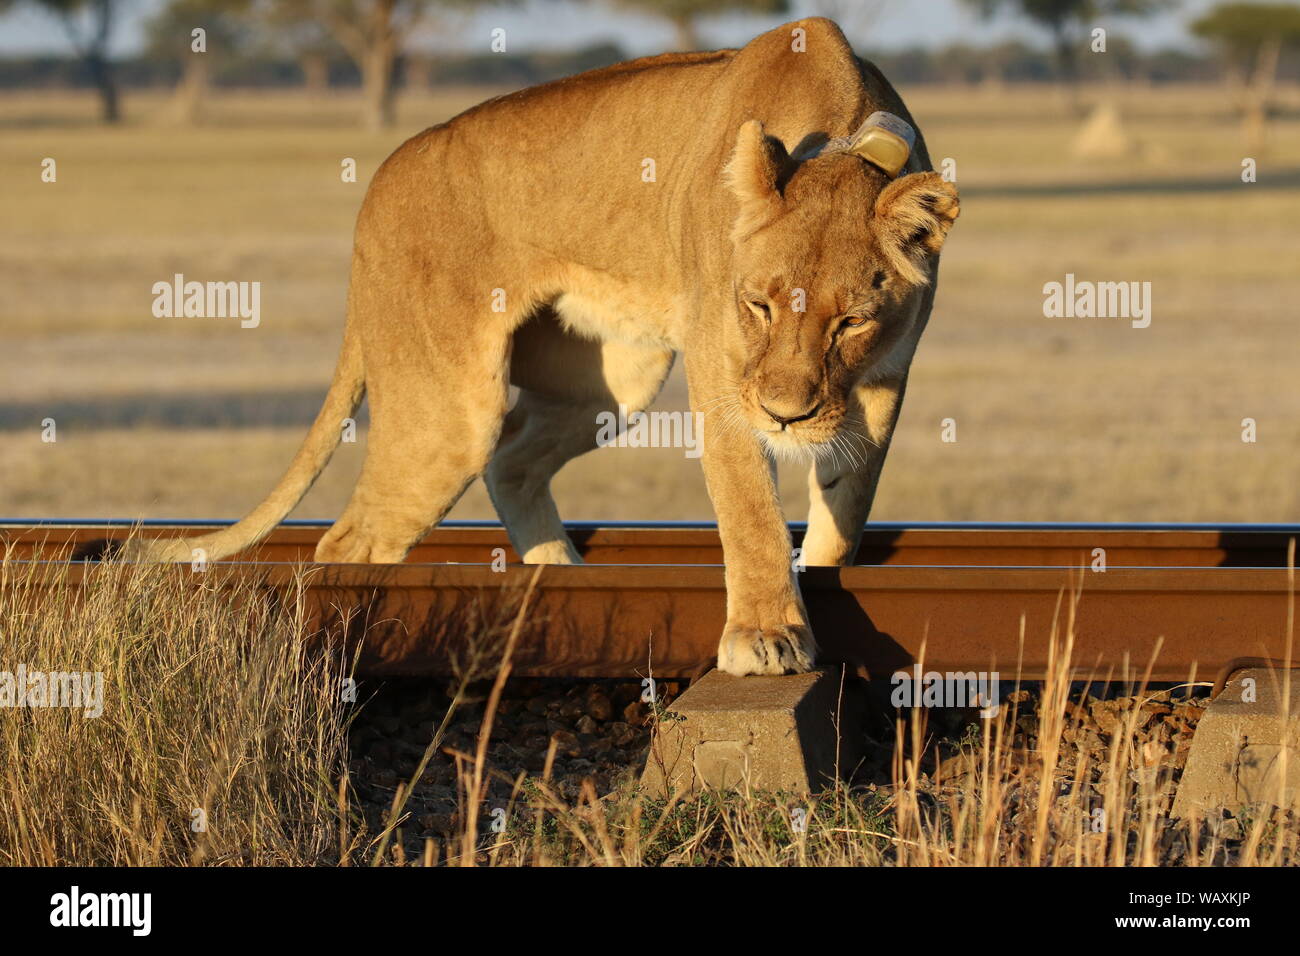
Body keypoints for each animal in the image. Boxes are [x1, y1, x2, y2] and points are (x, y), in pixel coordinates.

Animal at [137, 18, 959, 677]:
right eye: (756, 305)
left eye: (851, 322)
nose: (786, 416)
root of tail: (377, 185)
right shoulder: (722, 369)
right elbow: (749, 507)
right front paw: (765, 637)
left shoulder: (885, 379)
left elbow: (848, 500)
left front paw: (821, 574)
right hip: (448, 412)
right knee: (350, 541)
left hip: (612, 380)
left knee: (511, 461)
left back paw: (557, 579)